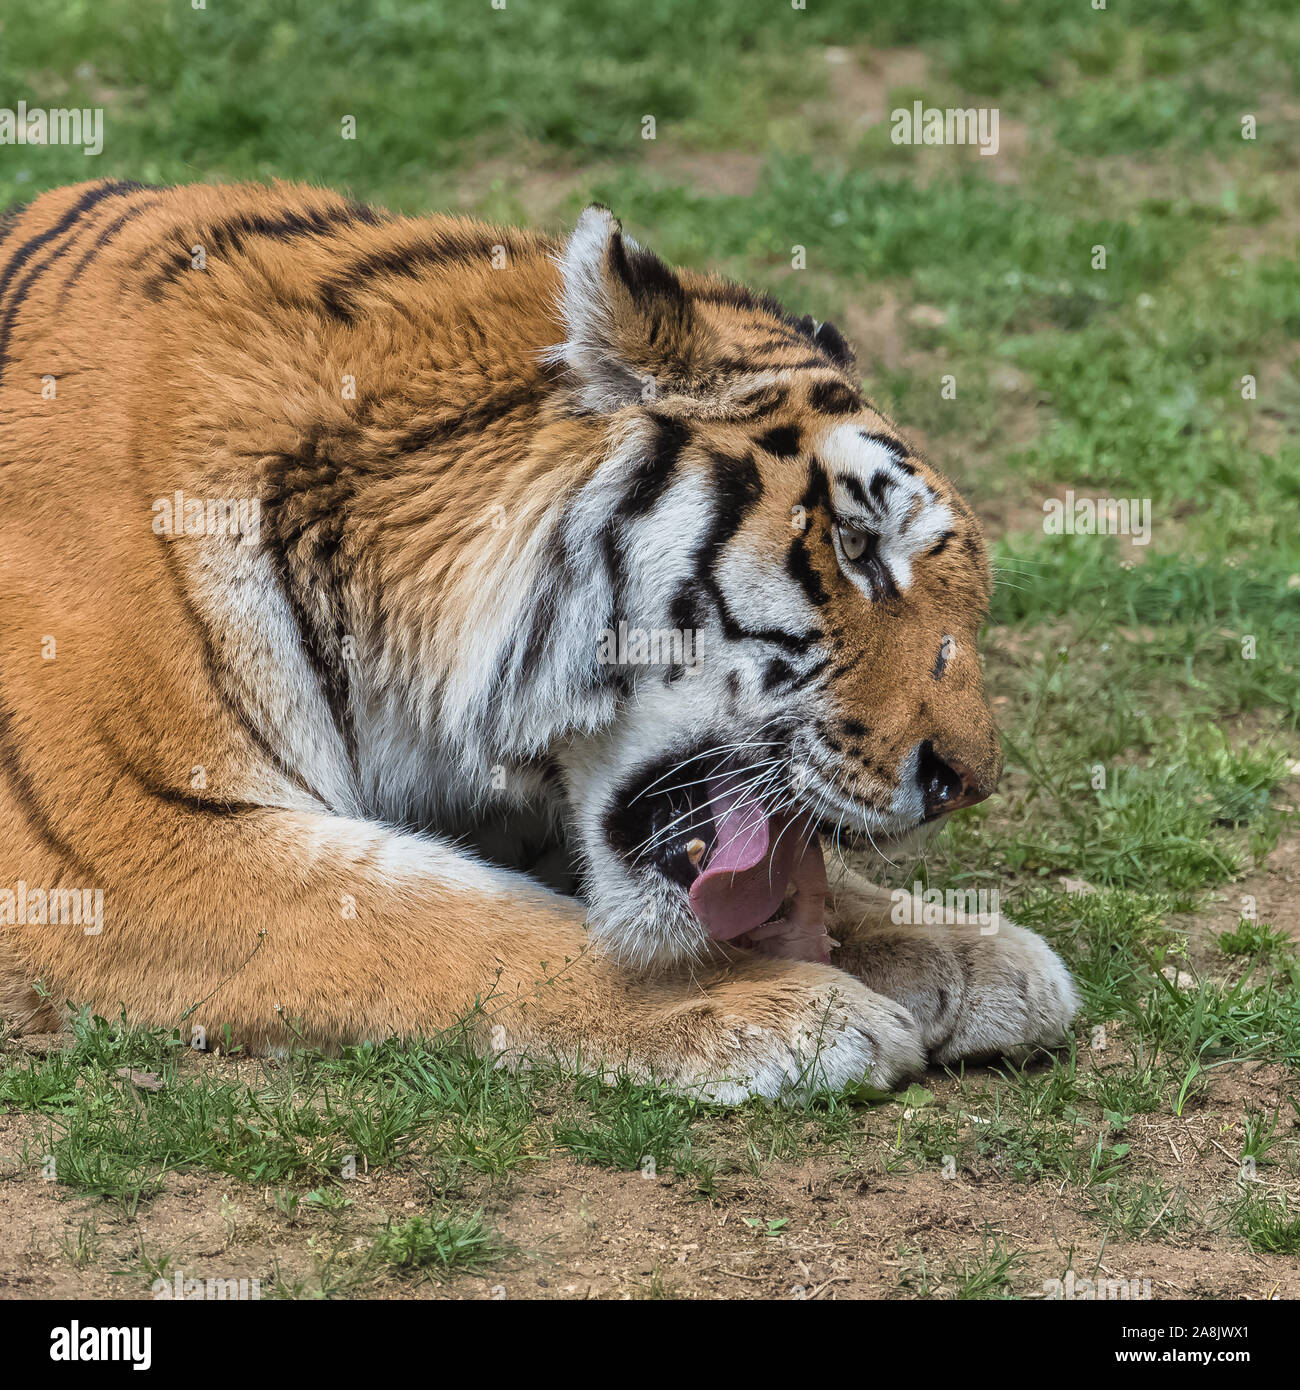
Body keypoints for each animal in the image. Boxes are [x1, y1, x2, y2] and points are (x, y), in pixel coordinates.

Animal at [0, 179, 1077, 1102]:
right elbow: (456, 919)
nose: (966, 782)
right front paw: (776, 1007)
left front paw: (971, 951)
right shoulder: (122, 853)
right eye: (856, 548)